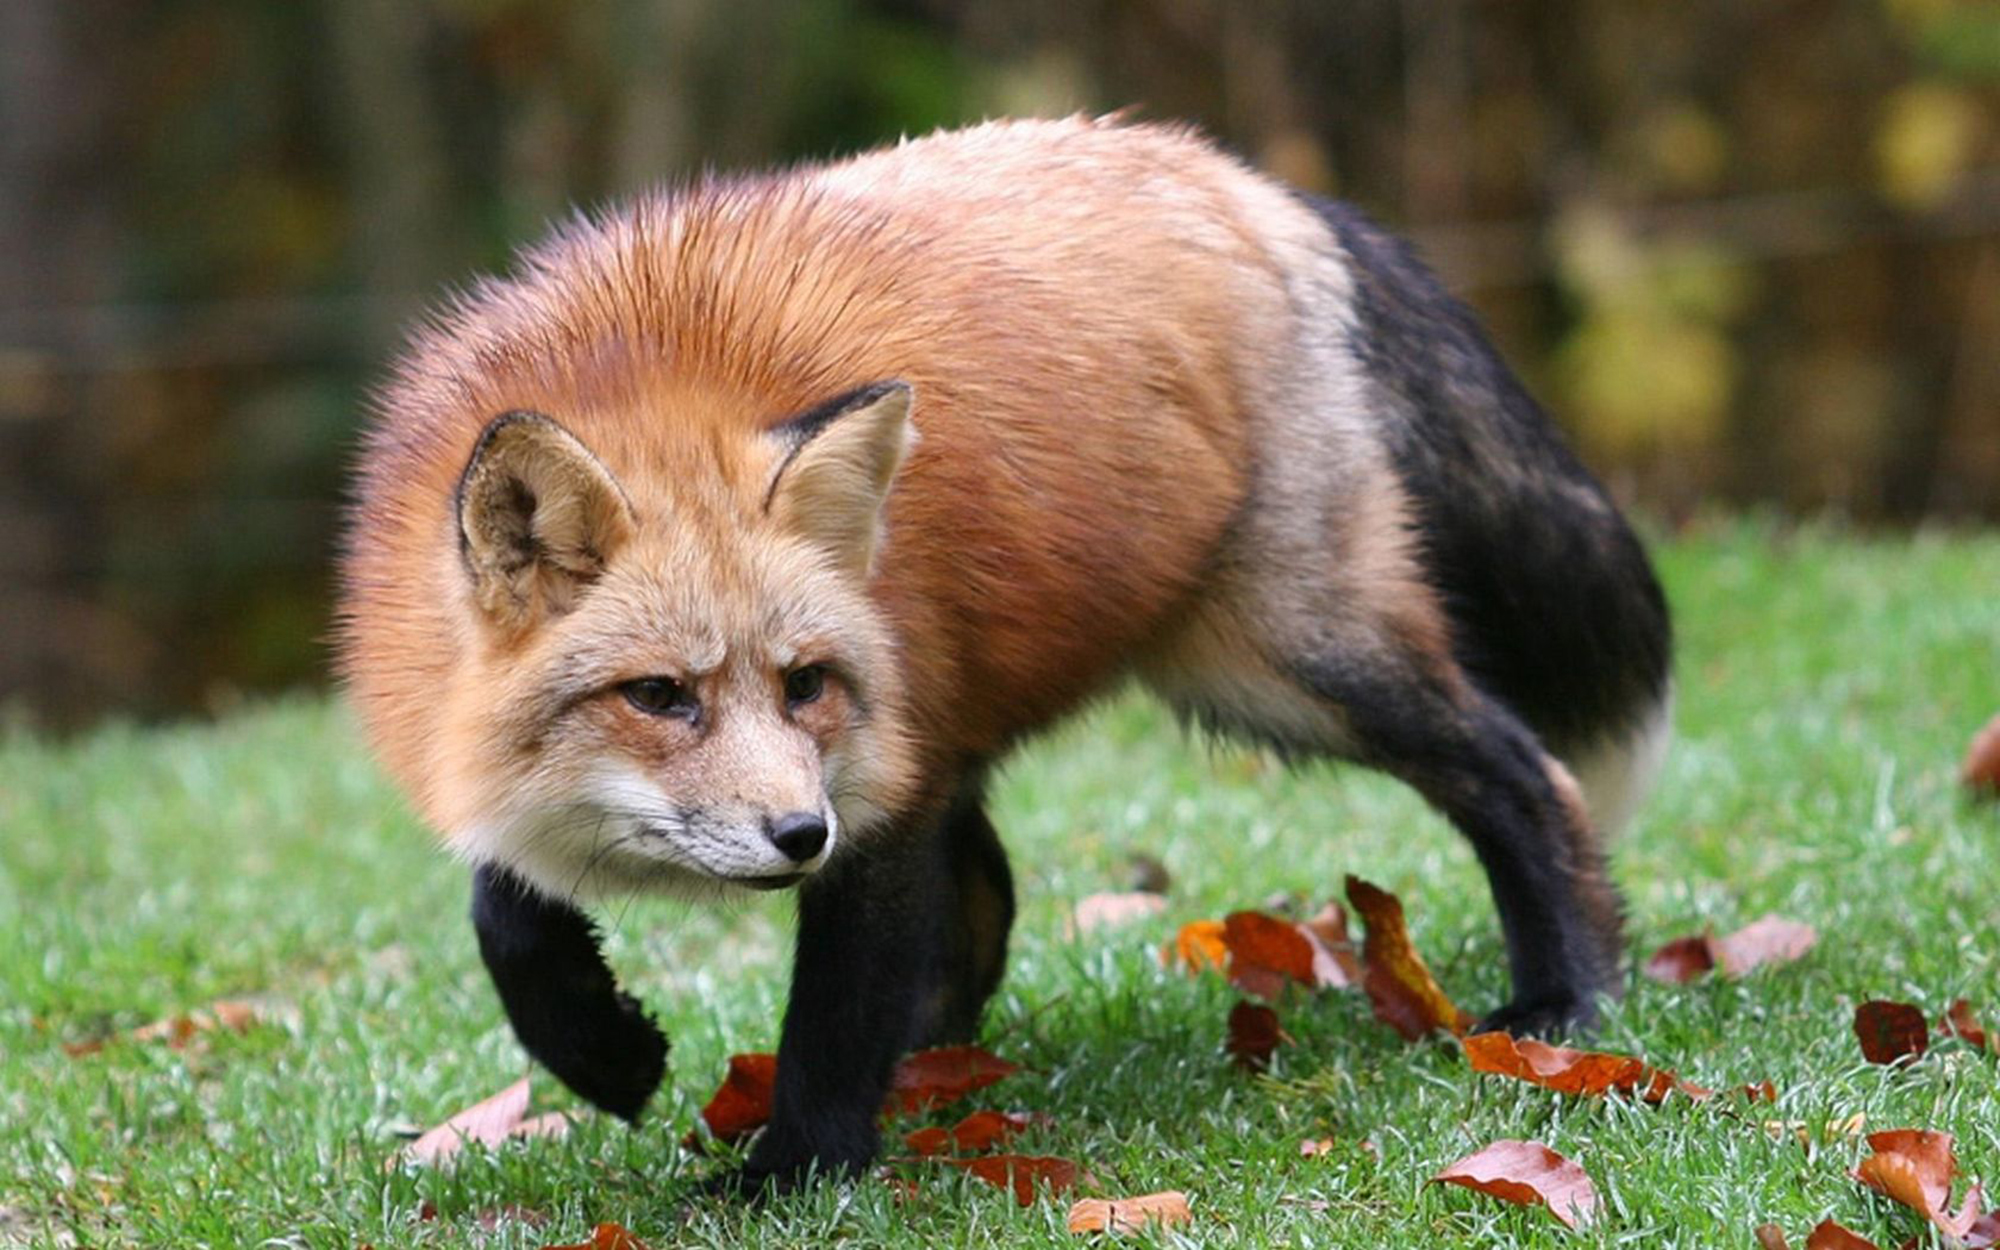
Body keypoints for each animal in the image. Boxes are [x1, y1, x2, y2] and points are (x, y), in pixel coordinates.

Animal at [337, 116, 1672, 1195]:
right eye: (658, 695)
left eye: (803, 682)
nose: (796, 837)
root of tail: (1252, 184)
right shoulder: (506, 742)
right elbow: (502, 903)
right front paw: (602, 1048)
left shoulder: (877, 791)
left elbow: (835, 1013)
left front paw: (791, 1171)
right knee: (984, 908)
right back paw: (945, 1072)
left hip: (1287, 664)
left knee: (1523, 774)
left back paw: (1562, 993)